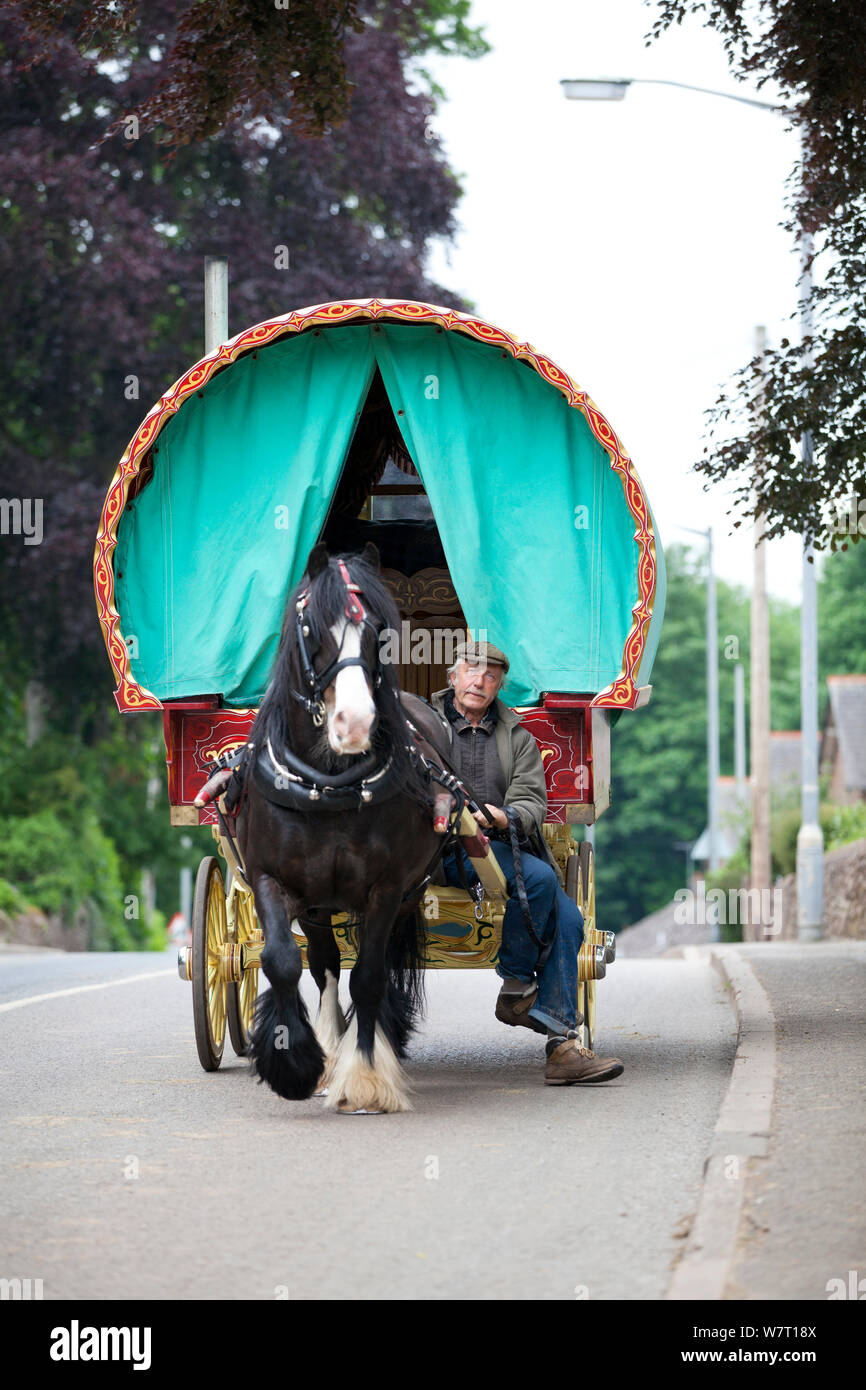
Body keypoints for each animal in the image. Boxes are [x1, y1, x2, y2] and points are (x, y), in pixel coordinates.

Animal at [236, 541, 449, 1114]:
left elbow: (370, 978)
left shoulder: (388, 888)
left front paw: (368, 1076)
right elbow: (282, 961)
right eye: (312, 626)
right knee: (325, 962)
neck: (329, 784)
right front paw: (293, 1063)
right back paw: (331, 1046)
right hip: (315, 906)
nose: (354, 723)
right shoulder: (269, 879)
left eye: (380, 631)